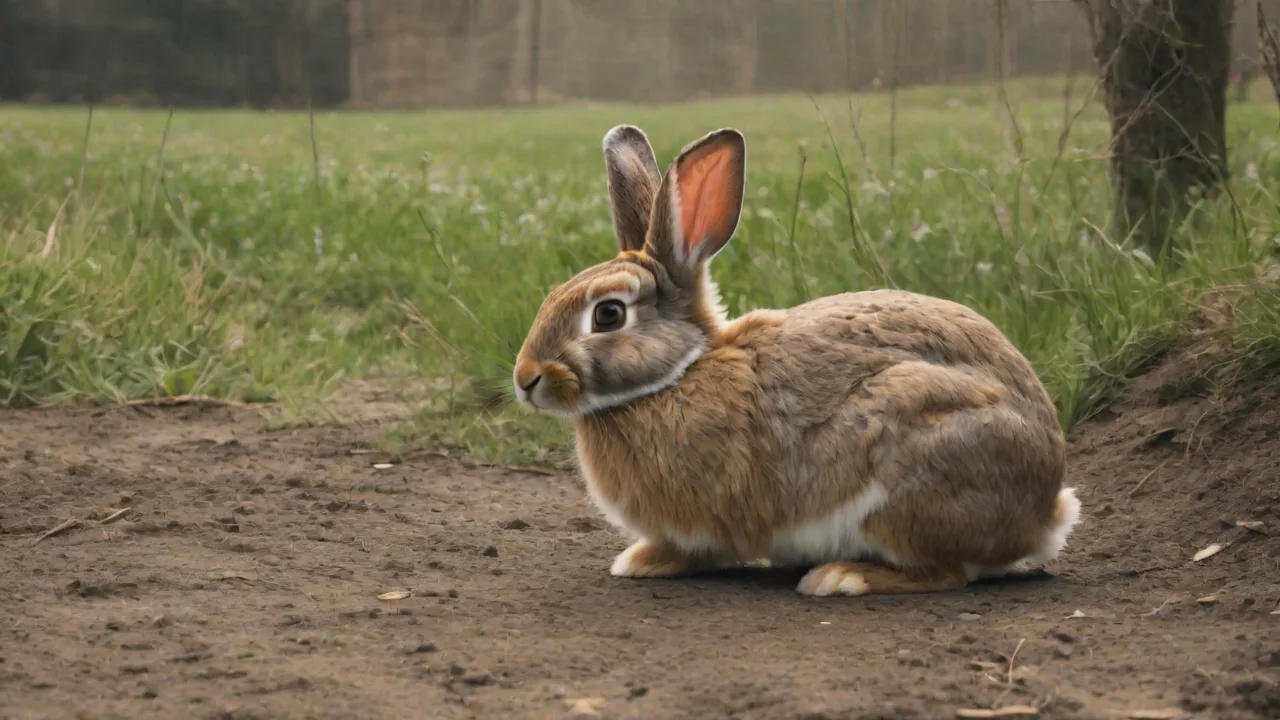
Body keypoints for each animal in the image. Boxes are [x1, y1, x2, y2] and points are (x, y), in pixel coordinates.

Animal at [511, 124, 1080, 596]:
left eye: (608, 315)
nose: (525, 379)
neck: (677, 375)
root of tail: (1045, 514)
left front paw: (642, 561)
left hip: (909, 473)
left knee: (944, 573)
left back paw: (841, 577)